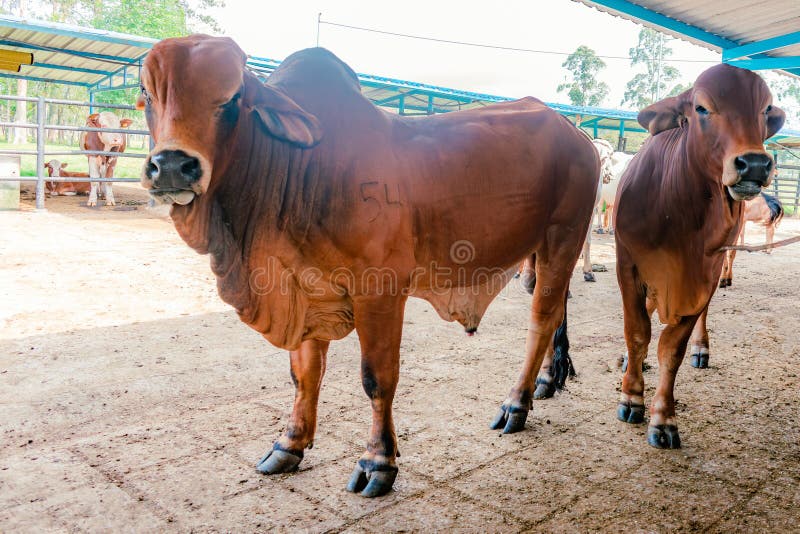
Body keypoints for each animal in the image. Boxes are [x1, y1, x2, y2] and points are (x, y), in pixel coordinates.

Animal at [137, 35, 599, 497]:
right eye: (146, 92)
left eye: (233, 98)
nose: (173, 166)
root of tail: (576, 132)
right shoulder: (305, 289)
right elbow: (304, 375)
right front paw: (289, 444)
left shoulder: (380, 292)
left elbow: (378, 379)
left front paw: (378, 461)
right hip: (537, 252)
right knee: (555, 310)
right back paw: (545, 383)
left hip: (564, 236)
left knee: (541, 318)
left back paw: (516, 404)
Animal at [614, 64, 784, 450]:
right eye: (702, 108)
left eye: (765, 109)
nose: (755, 164)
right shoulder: (629, 265)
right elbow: (638, 332)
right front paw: (631, 396)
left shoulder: (704, 275)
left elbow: (672, 349)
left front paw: (663, 419)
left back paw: (700, 349)